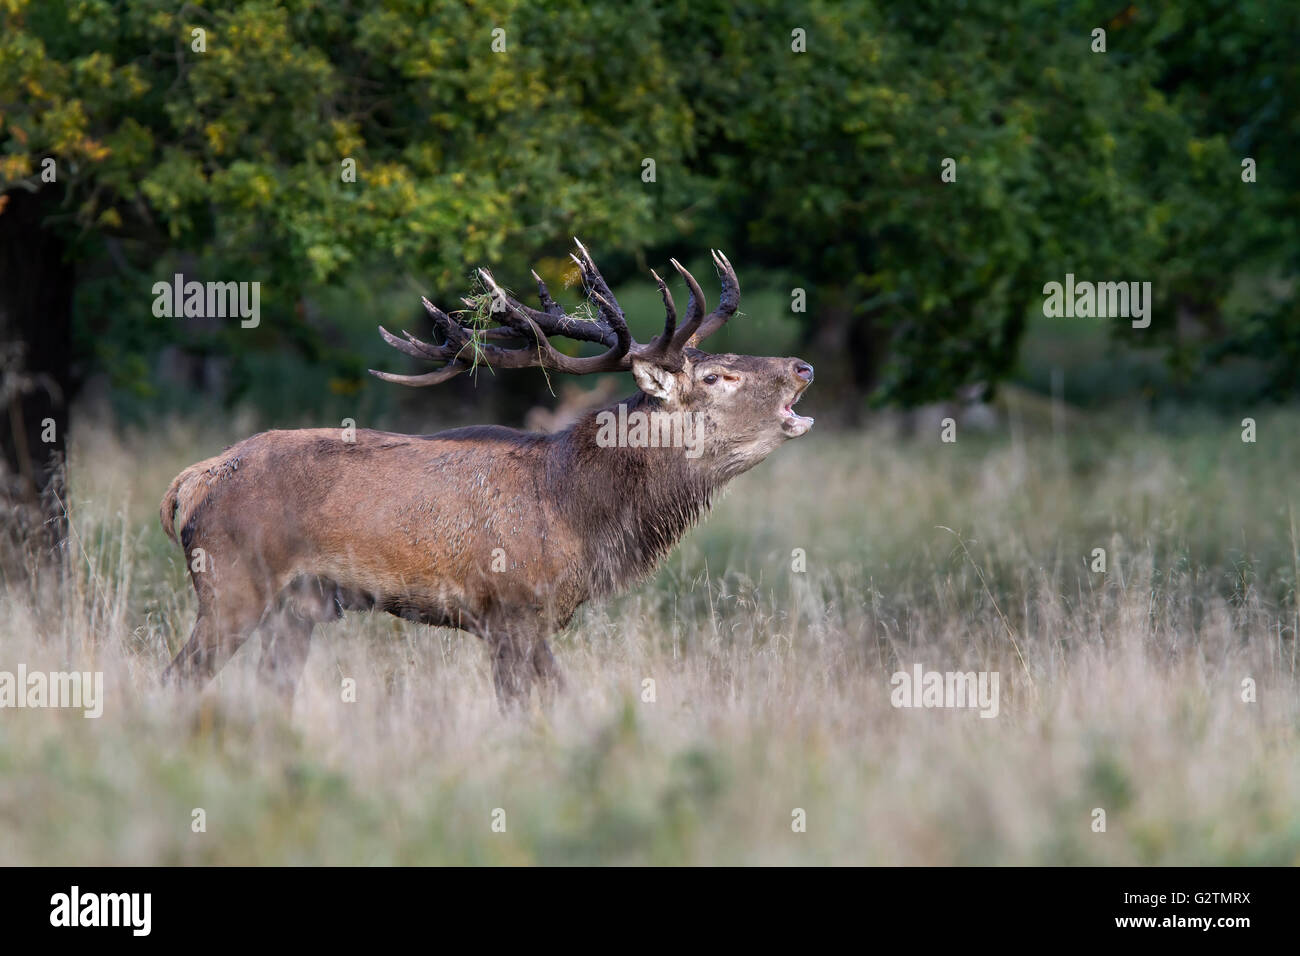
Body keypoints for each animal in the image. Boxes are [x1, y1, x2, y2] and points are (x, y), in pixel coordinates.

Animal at [158, 241, 814, 709]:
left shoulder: (534, 622)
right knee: (176, 679)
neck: (578, 513)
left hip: (299, 606)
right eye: (715, 377)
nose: (802, 367)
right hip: (232, 584)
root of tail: (193, 481)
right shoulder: (509, 611)